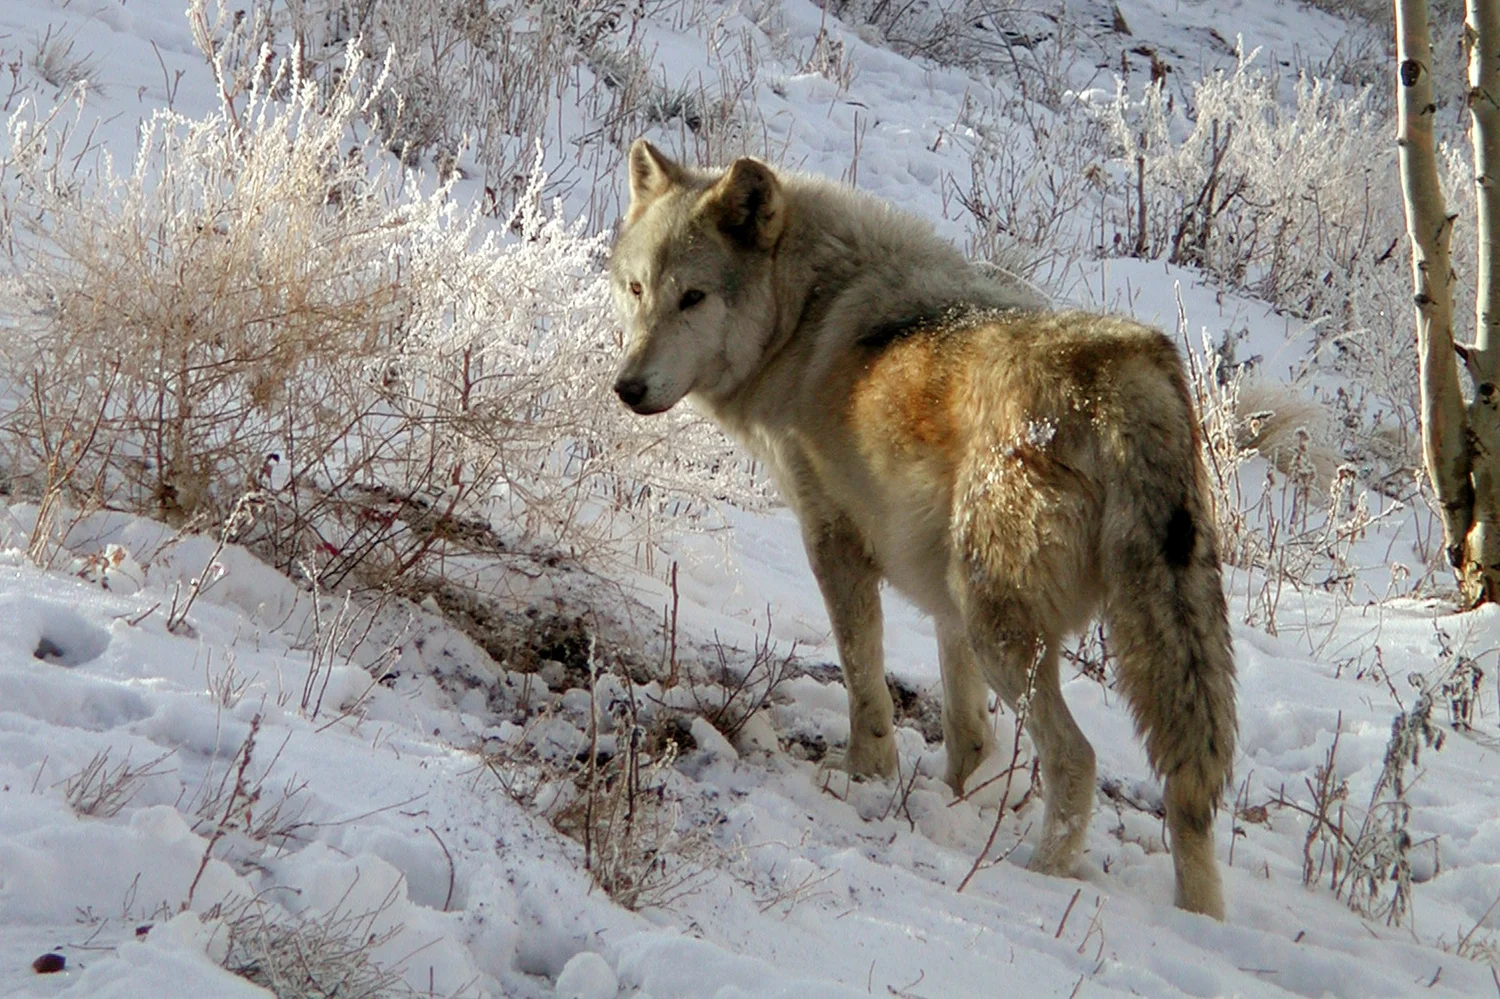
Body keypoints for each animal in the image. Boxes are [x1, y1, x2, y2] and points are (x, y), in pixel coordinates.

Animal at [608, 140, 1237, 919]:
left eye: (692, 297)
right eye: (637, 289)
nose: (627, 387)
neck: (803, 315)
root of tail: (1130, 372)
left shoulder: (833, 542)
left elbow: (863, 680)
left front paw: (866, 776)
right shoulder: (942, 596)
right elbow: (969, 735)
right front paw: (948, 803)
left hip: (1005, 629)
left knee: (1076, 759)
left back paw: (1039, 874)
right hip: (1113, 630)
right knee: (1189, 796)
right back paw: (1199, 918)